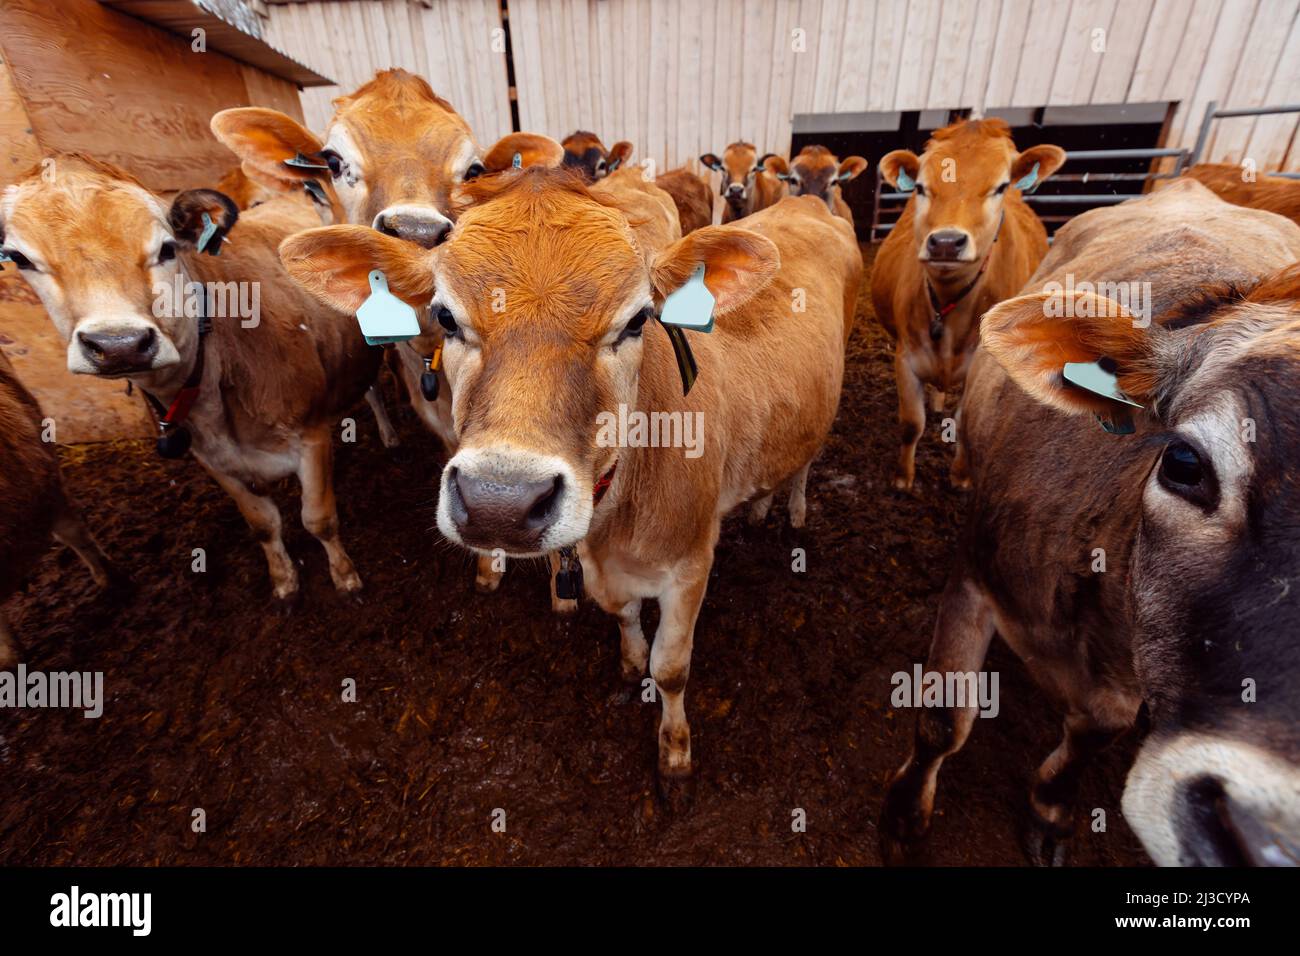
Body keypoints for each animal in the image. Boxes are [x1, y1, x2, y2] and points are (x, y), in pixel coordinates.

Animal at [0, 154, 380, 604]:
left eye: (166, 249)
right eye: (20, 257)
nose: (119, 343)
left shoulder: (311, 434)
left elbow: (318, 518)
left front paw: (346, 578)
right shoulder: (214, 460)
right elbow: (262, 524)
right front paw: (284, 582)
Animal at [277, 161, 862, 786]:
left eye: (638, 319)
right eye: (444, 316)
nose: (500, 502)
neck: (614, 522)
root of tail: (807, 204)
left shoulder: (689, 564)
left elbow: (672, 668)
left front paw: (675, 749)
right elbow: (625, 619)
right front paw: (630, 662)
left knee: (805, 460)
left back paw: (793, 510)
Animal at [873, 119, 1065, 491]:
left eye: (1001, 186)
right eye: (920, 187)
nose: (946, 242)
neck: (949, 307)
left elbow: (965, 423)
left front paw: (961, 476)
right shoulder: (906, 356)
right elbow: (911, 422)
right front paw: (903, 479)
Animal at [880, 179, 1300, 867]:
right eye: (1185, 461)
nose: (1264, 839)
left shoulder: (1127, 684)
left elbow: (1094, 733)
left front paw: (1050, 813)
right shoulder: (975, 573)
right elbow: (944, 718)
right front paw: (903, 813)